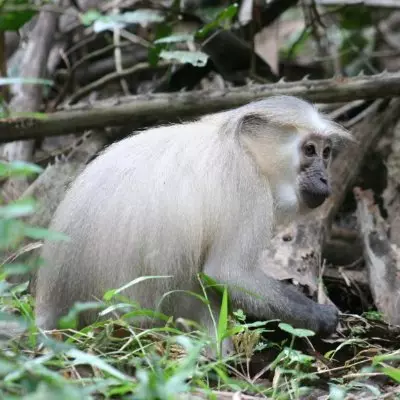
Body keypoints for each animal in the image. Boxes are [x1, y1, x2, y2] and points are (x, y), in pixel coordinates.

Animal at [33, 96, 354, 354]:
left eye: (326, 153)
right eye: (310, 150)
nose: (325, 178)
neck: (237, 144)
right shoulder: (247, 185)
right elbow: (226, 273)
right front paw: (321, 317)